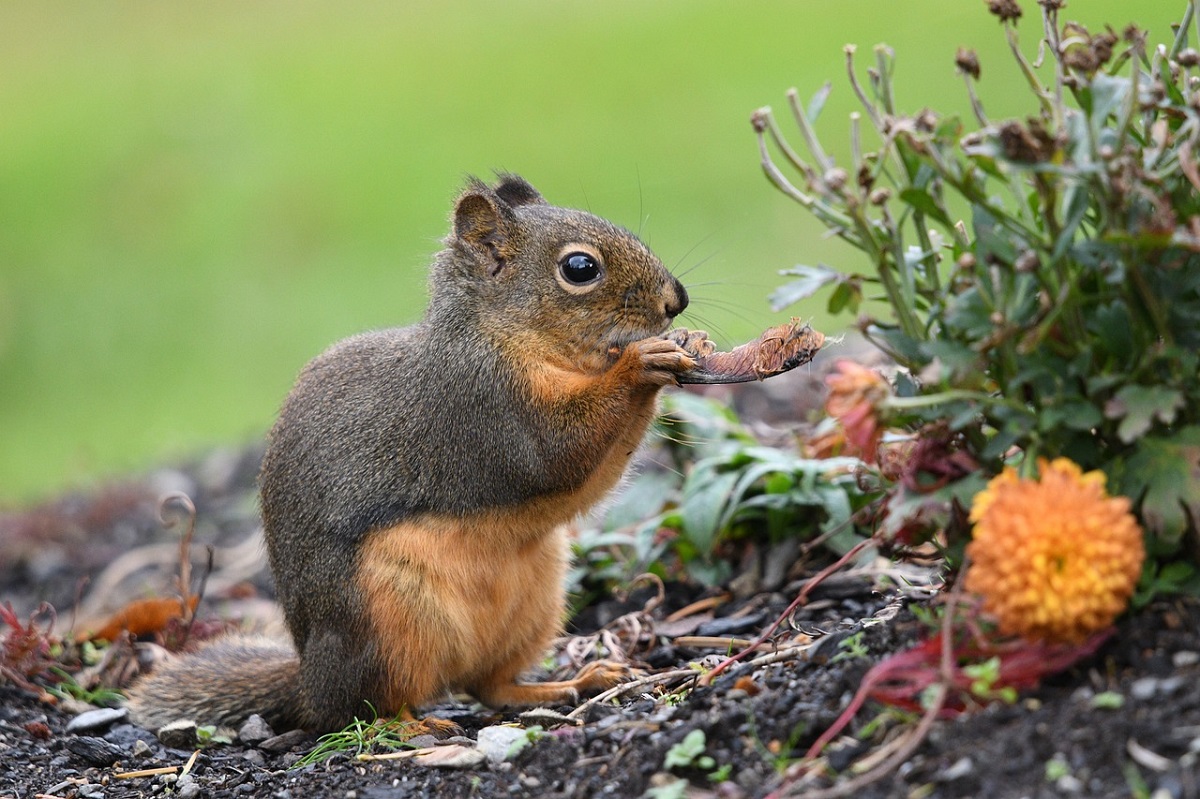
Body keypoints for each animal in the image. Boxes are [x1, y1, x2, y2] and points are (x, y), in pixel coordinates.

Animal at [126, 173, 702, 733]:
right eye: (580, 268)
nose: (676, 300)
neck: (508, 336)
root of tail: (309, 681)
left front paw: (684, 345)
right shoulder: (486, 407)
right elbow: (557, 452)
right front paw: (638, 363)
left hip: (536, 599)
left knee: (489, 686)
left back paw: (571, 683)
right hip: (387, 619)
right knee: (360, 708)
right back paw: (410, 726)